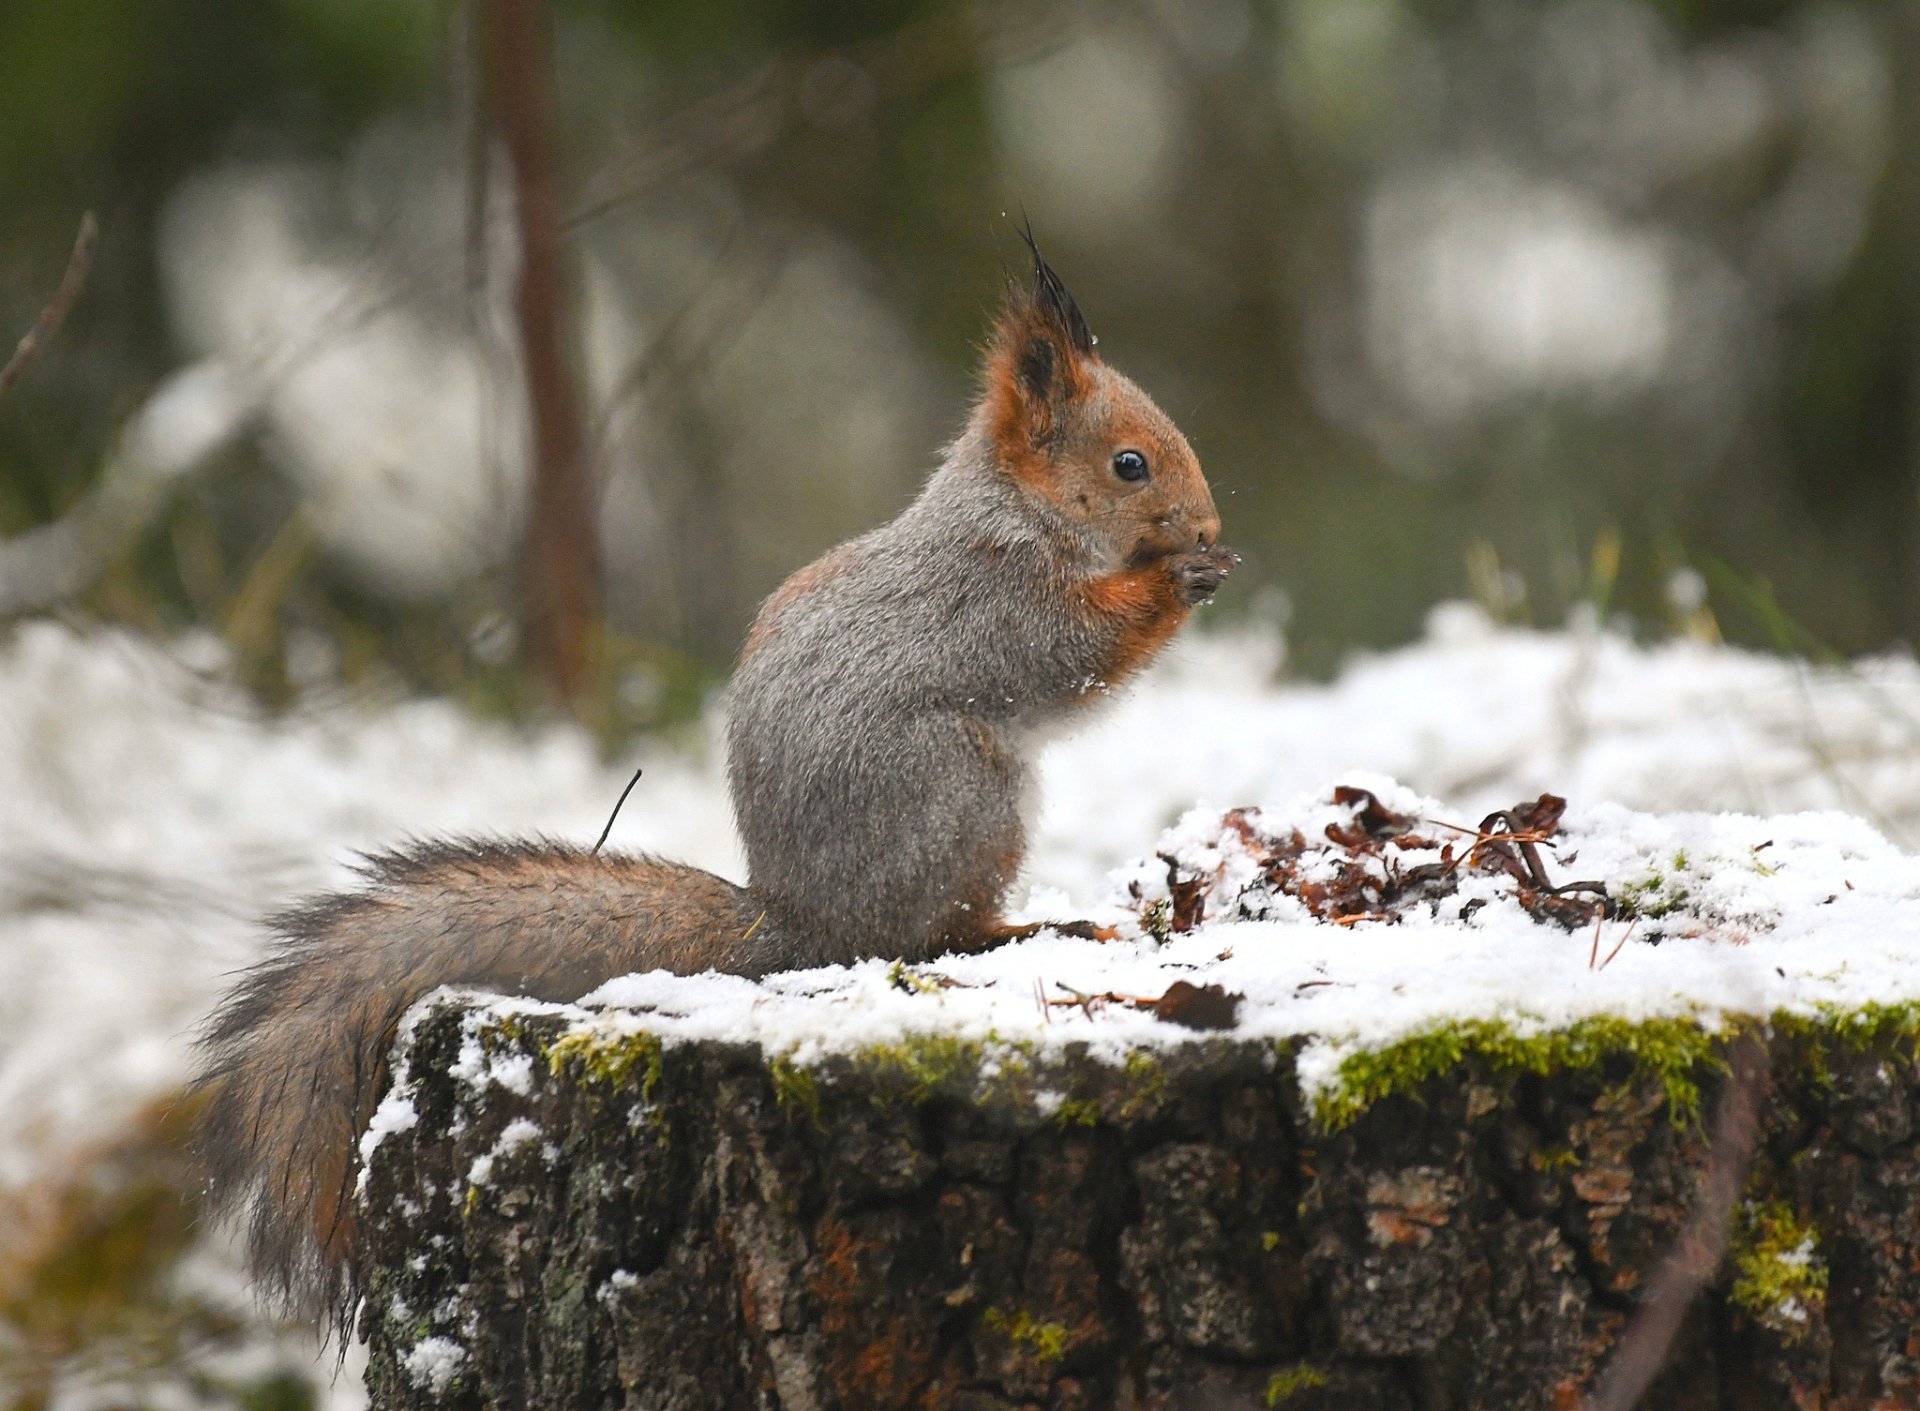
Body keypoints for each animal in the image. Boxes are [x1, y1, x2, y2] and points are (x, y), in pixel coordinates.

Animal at [192, 236, 1236, 1330]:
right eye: (1128, 463)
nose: (1210, 523)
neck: (1021, 516)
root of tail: (800, 921)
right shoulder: (1004, 607)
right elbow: (1078, 656)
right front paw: (1178, 582)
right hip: (963, 799)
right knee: (925, 936)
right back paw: (1024, 927)